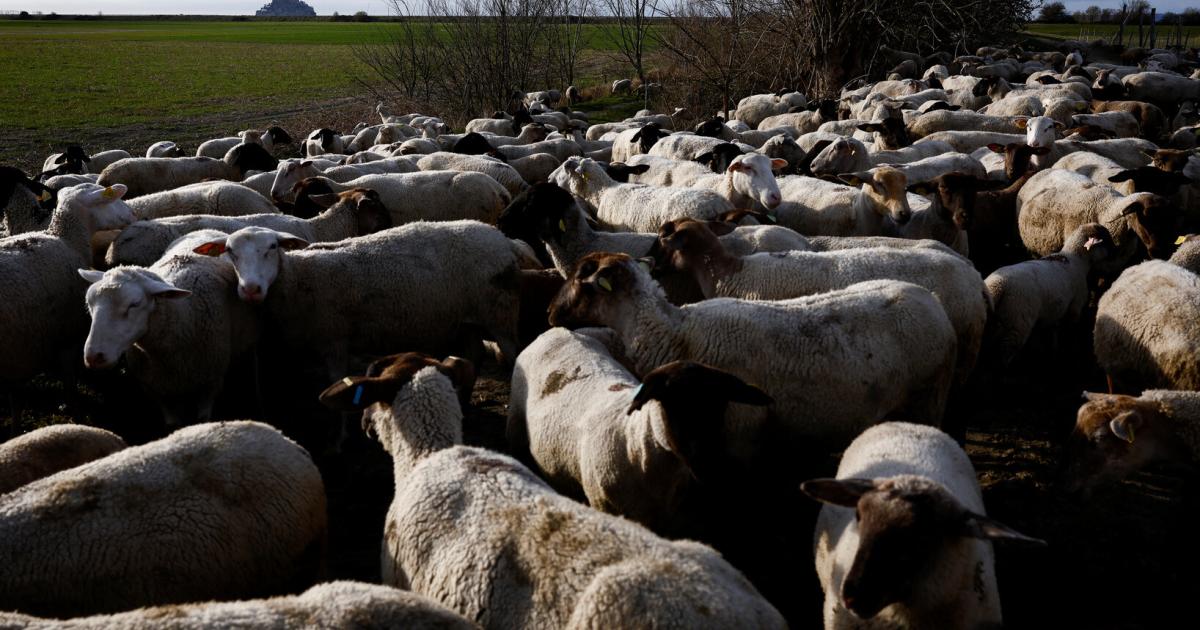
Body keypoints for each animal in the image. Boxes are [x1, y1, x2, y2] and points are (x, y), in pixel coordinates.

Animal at [192, 221, 525, 370]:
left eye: (272, 247)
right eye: (229, 252)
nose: (250, 289)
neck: (300, 277)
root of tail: (502, 238)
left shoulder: (334, 341)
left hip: (500, 312)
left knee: (513, 350)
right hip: (468, 317)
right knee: (474, 352)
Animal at [509, 327, 771, 531]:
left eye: (721, 406)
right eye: (674, 403)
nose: (710, 465)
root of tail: (556, 331)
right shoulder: (604, 505)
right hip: (515, 427)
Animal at [549, 253, 959, 450]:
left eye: (581, 280)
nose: (550, 313)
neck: (676, 332)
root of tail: (930, 300)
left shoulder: (739, 435)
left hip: (929, 398)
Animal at [983, 224, 1114, 367]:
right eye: (1105, 240)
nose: (1116, 252)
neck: (1076, 260)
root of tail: (998, 285)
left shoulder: (1056, 309)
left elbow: (1053, 332)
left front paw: (1053, 353)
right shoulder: (1075, 306)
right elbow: (1070, 331)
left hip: (994, 323)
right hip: (1017, 321)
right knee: (1006, 353)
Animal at [1016, 168, 1180, 265]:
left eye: (1172, 221)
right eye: (1144, 217)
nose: (1160, 252)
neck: (1107, 209)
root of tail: (1041, 171)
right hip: (1033, 249)